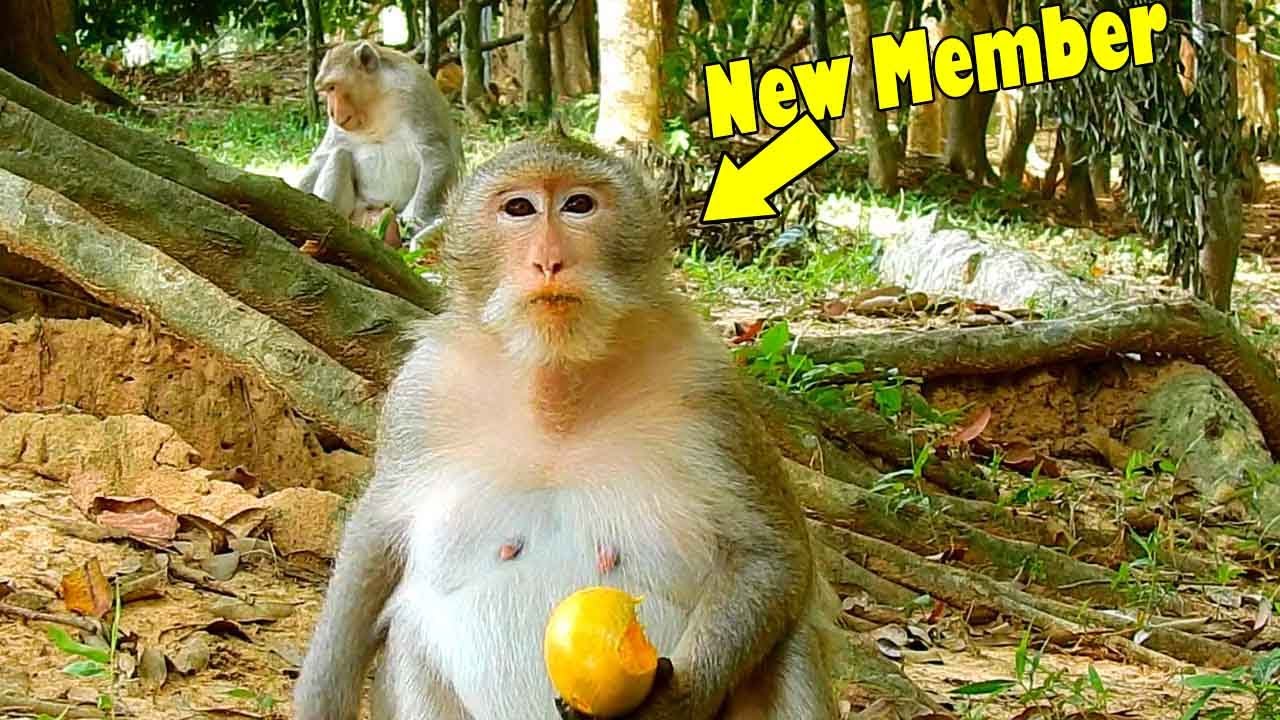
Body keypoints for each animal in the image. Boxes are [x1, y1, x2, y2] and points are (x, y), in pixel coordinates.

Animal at [292, 136, 840, 720]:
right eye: (519, 208)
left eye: (579, 205)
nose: (549, 260)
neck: (558, 381)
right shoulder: (422, 394)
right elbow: (376, 539)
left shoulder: (711, 394)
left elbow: (774, 556)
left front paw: (675, 699)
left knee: (792, 634)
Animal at [293, 41, 463, 249]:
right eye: (325, 91)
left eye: (332, 87)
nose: (331, 112)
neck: (376, 98)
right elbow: (323, 155)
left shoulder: (414, 92)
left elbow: (435, 153)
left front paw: (416, 223)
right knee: (340, 154)